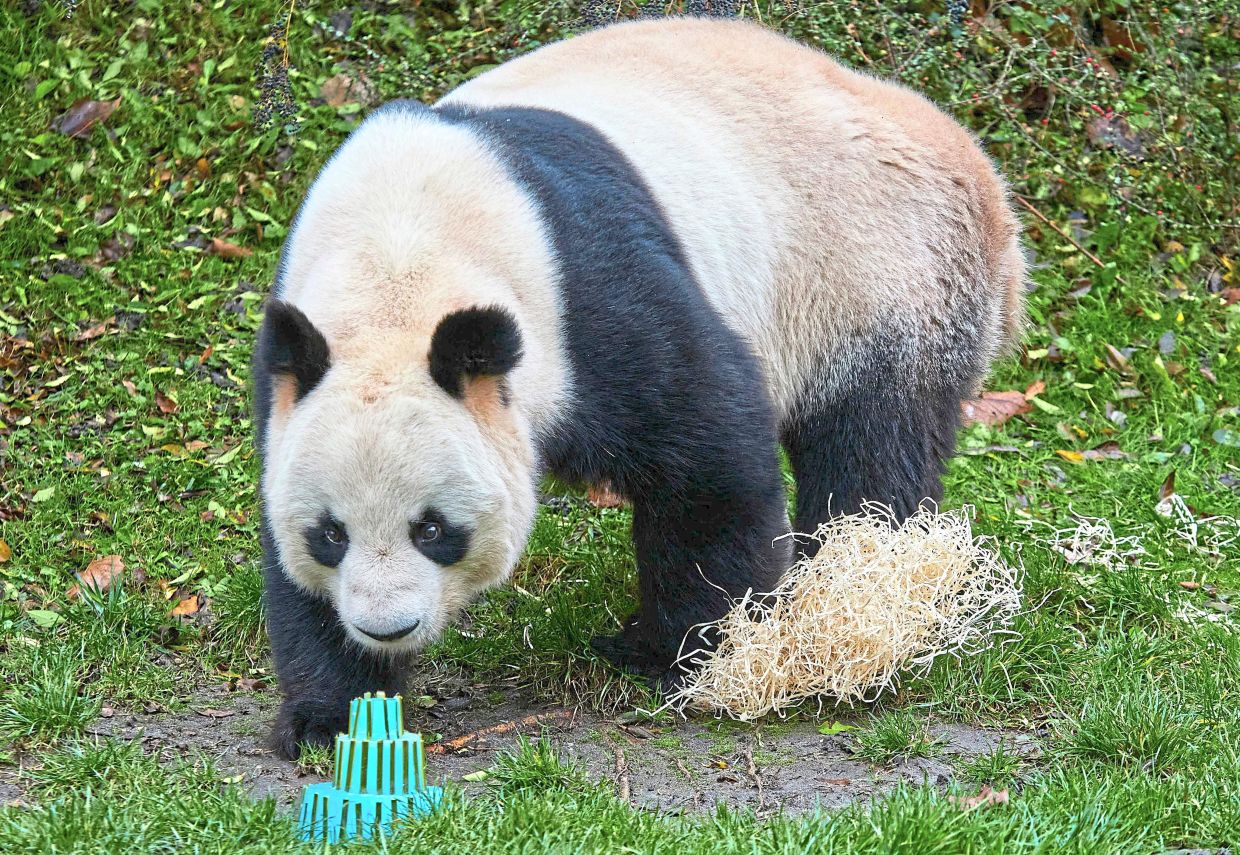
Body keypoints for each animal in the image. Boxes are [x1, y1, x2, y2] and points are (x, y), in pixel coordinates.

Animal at [253, 16, 1025, 758]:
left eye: (434, 529)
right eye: (330, 535)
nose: (387, 626)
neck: (399, 260)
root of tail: (976, 168)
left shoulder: (584, 300)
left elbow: (707, 454)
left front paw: (687, 654)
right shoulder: (294, 364)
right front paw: (331, 714)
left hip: (880, 273)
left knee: (872, 451)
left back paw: (854, 589)